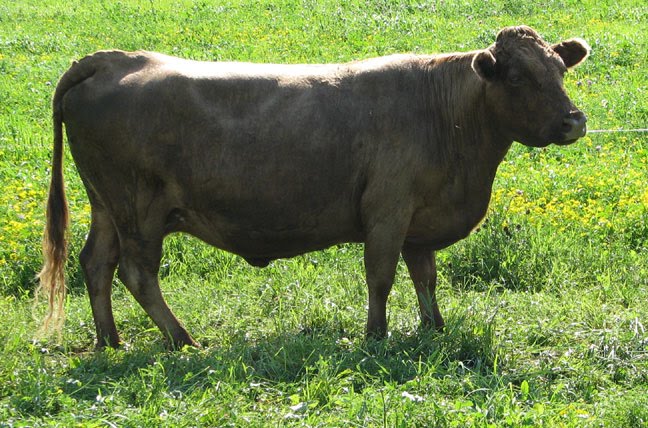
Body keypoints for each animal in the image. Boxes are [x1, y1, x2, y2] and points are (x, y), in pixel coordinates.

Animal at [38, 26, 590, 349]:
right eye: (517, 77)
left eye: (560, 69)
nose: (574, 121)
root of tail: (111, 59)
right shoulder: (387, 212)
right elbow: (381, 277)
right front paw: (376, 337)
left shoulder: (420, 221)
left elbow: (425, 278)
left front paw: (434, 328)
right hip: (139, 208)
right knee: (137, 272)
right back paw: (181, 339)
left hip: (108, 206)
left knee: (96, 263)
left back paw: (110, 341)